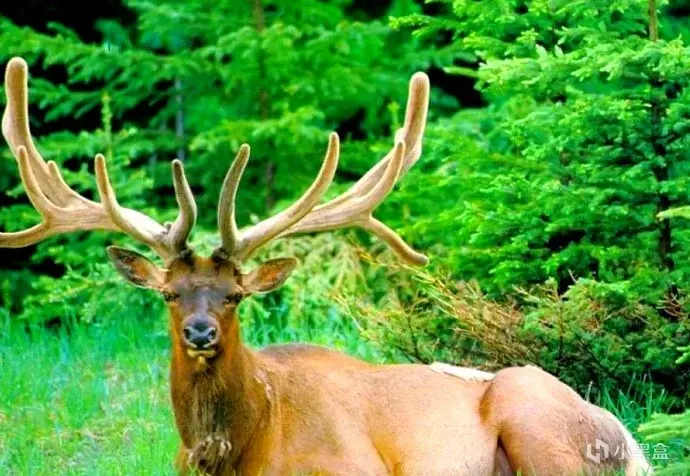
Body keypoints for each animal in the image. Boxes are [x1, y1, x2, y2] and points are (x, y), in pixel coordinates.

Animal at [1, 56, 652, 475]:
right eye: (169, 293)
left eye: (234, 295)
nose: (200, 332)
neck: (236, 450)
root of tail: (627, 439)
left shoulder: (354, 465)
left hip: (535, 419)